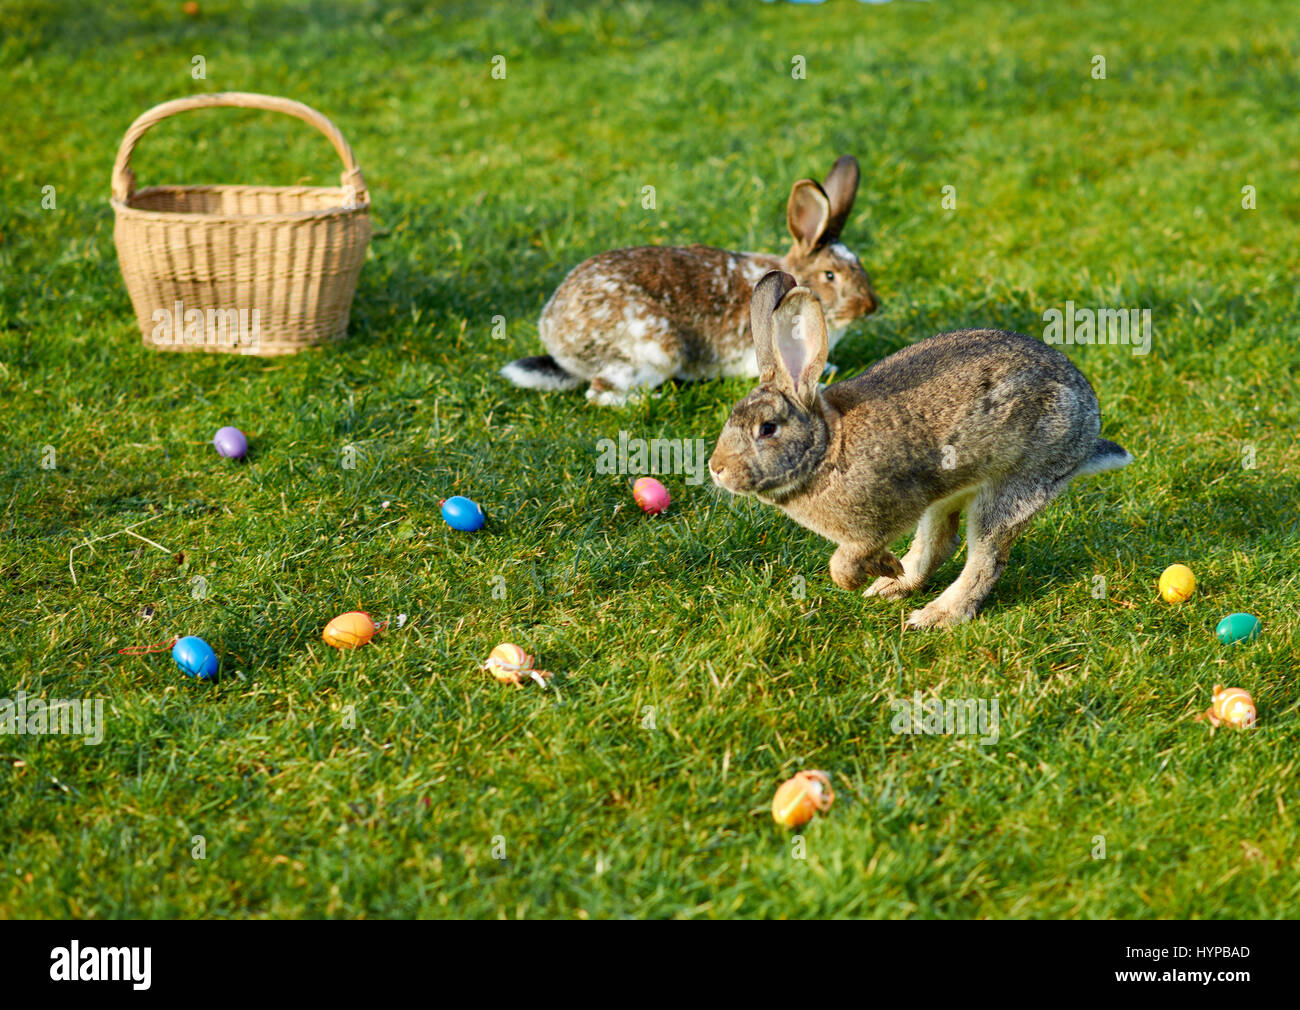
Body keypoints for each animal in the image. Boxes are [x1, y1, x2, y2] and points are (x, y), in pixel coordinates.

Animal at [501, 156, 879, 407]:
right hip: (656, 349)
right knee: (599, 391)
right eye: (830, 275)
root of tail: (556, 337)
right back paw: (649, 400)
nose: (871, 306)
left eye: (859, 263)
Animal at [709, 270, 1131, 628]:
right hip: (945, 493)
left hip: (1015, 487)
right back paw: (893, 585)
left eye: (767, 429)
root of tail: (1088, 427)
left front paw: (868, 571)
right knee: (940, 543)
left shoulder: (884, 513)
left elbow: (845, 561)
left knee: (985, 558)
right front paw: (887, 568)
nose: (716, 468)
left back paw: (936, 615)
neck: (826, 447)